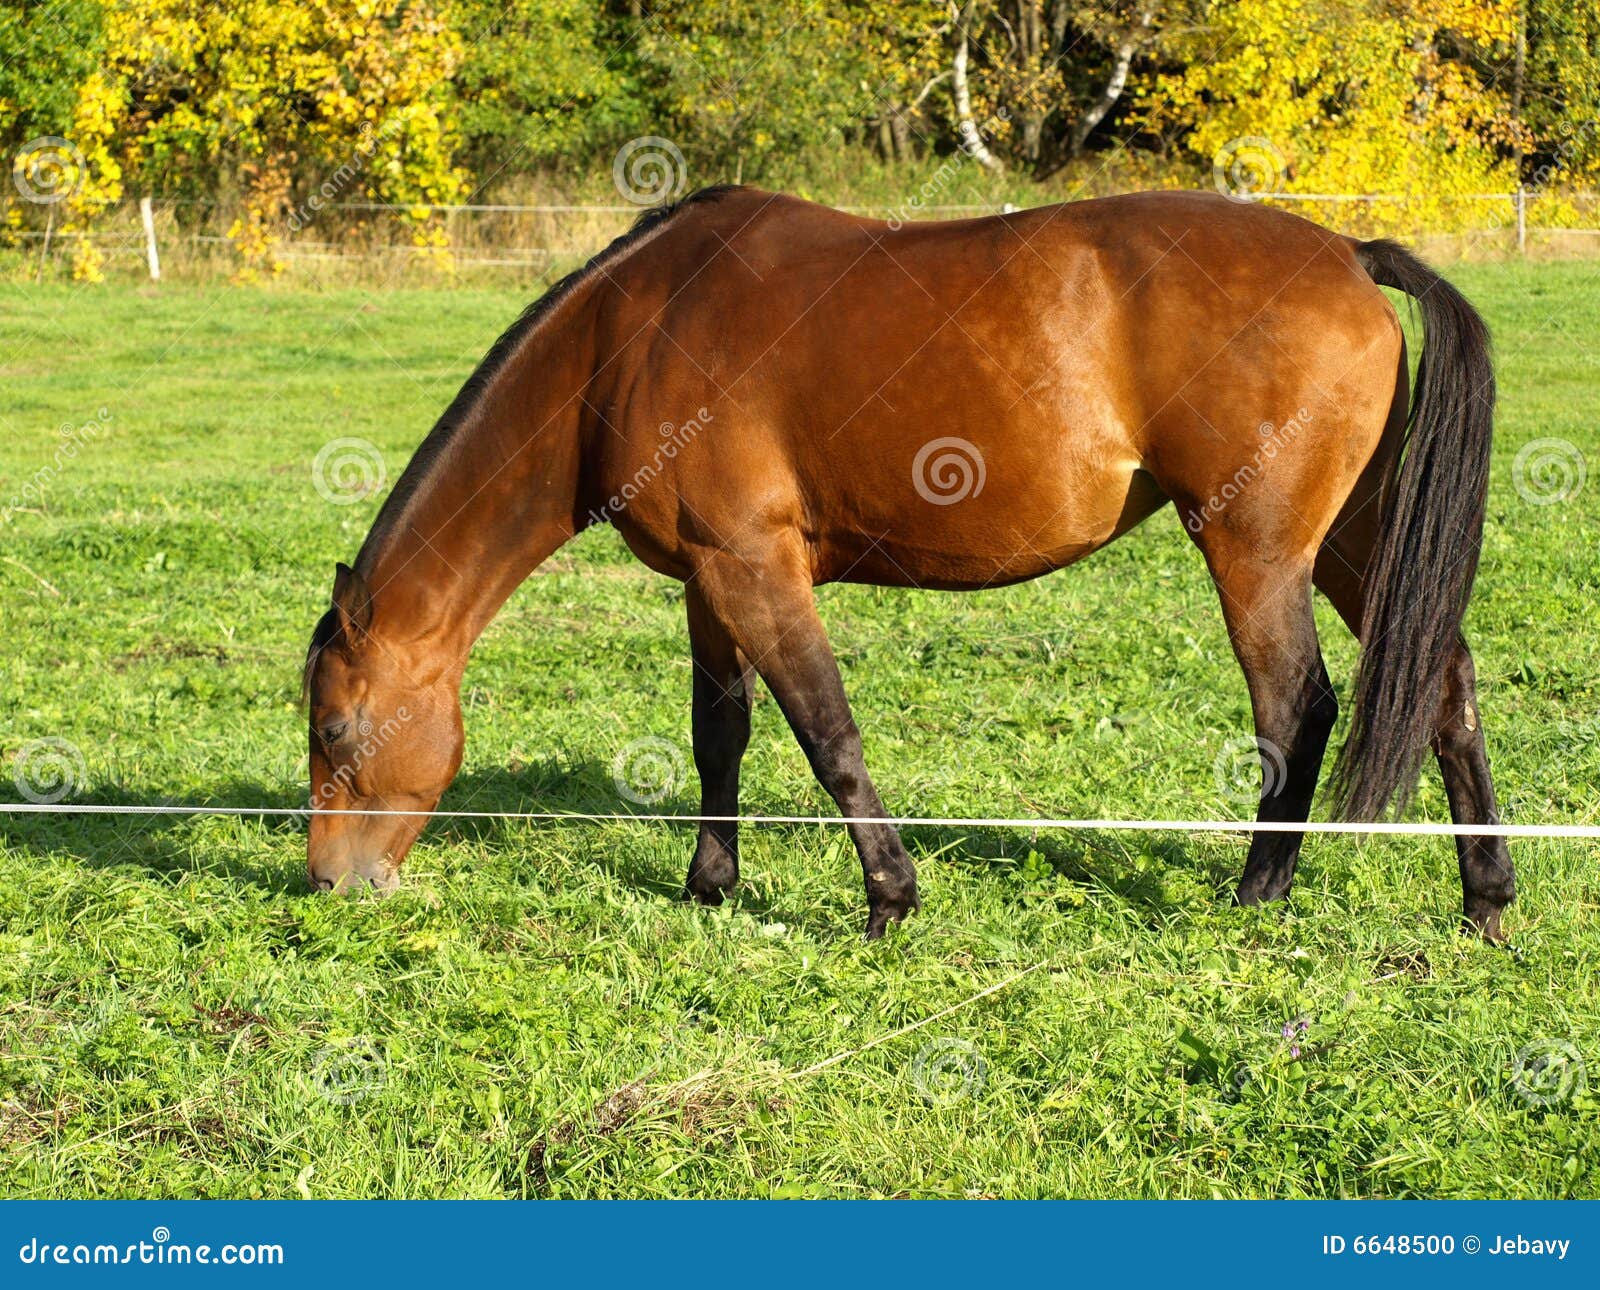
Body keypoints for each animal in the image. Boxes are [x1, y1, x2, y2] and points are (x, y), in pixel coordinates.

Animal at [302, 184, 1513, 942]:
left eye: (336, 732)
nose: (326, 883)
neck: (628, 339)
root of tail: (1348, 255)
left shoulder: (756, 570)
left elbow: (826, 733)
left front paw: (888, 898)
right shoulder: (708, 583)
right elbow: (719, 737)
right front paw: (710, 886)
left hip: (1255, 552)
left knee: (1294, 706)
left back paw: (1259, 895)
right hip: (1355, 540)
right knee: (1445, 684)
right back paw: (1485, 898)